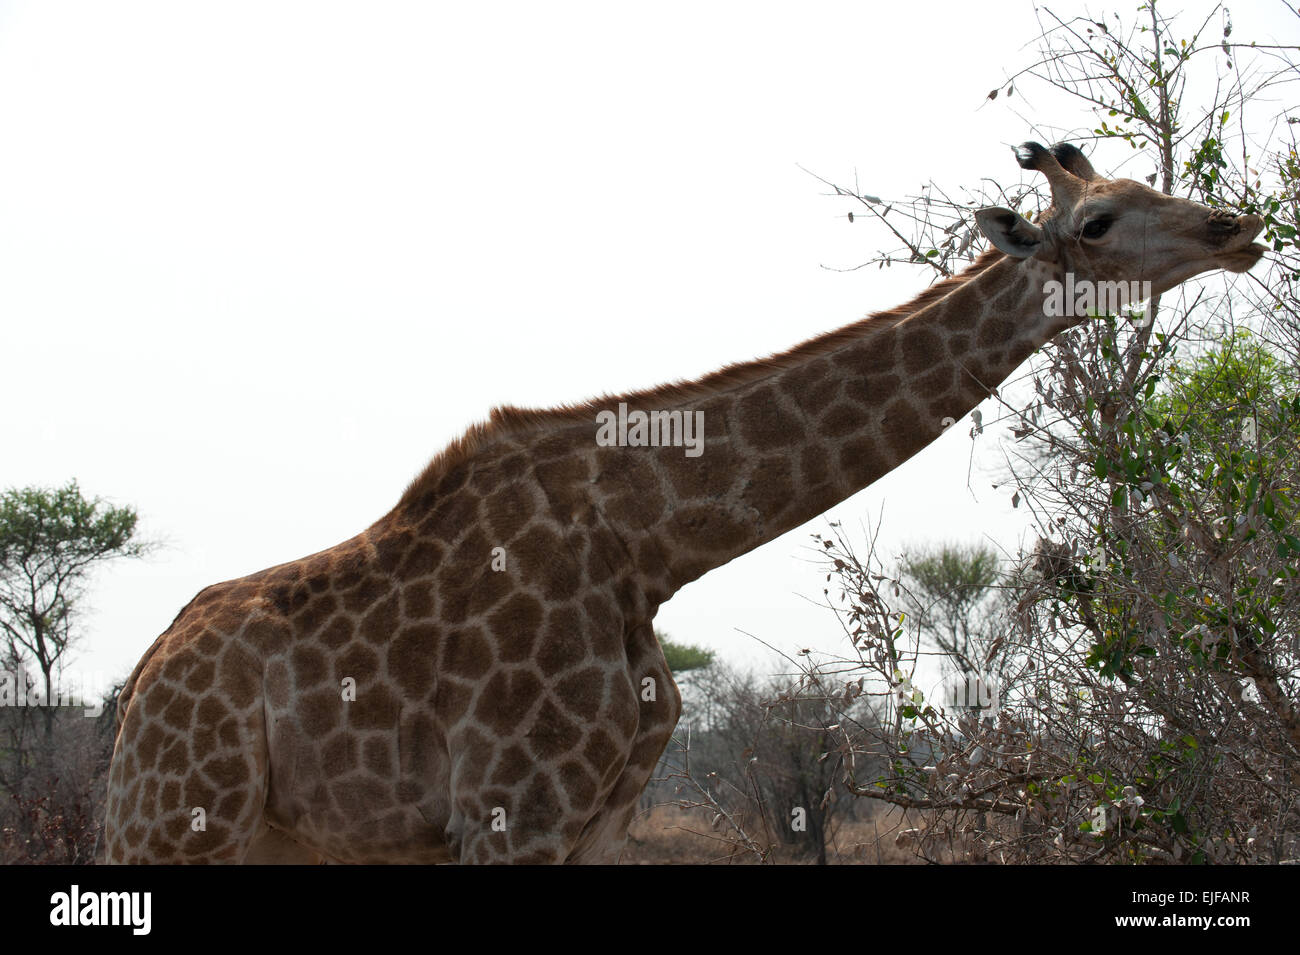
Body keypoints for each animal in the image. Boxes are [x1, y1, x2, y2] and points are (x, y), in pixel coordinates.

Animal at [104, 142, 1265, 864]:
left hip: (273, 835)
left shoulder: (599, 819)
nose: (1237, 225)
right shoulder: (507, 811)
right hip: (181, 820)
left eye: (1149, 185)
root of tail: (143, 682)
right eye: (1102, 220)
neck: (648, 545)